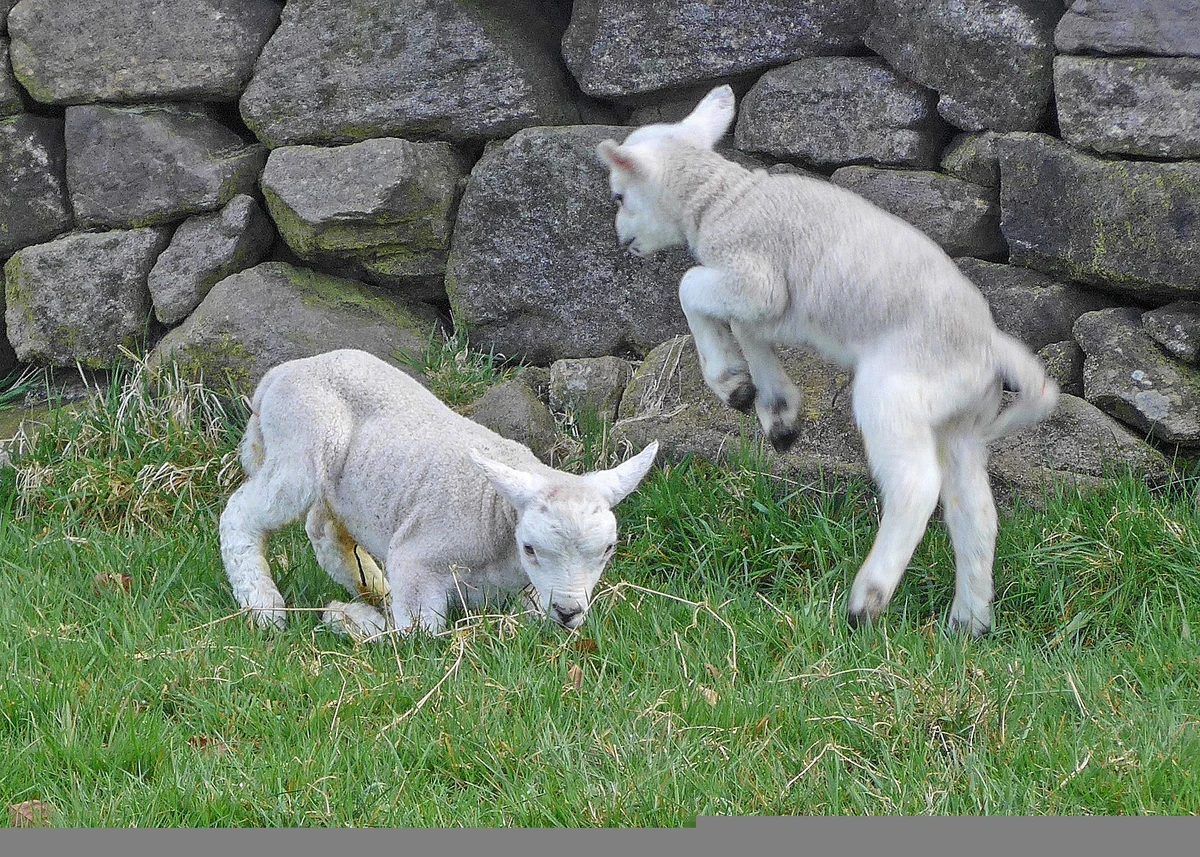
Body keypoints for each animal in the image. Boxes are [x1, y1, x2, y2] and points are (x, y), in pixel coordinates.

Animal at [218, 348, 659, 640]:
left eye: (607, 550)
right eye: (530, 548)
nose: (569, 612)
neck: (498, 518)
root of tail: (280, 374)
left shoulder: (532, 593)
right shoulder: (419, 560)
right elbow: (416, 636)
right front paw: (349, 620)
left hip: (342, 481)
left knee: (325, 529)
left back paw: (373, 588)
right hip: (301, 443)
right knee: (241, 512)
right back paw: (264, 607)